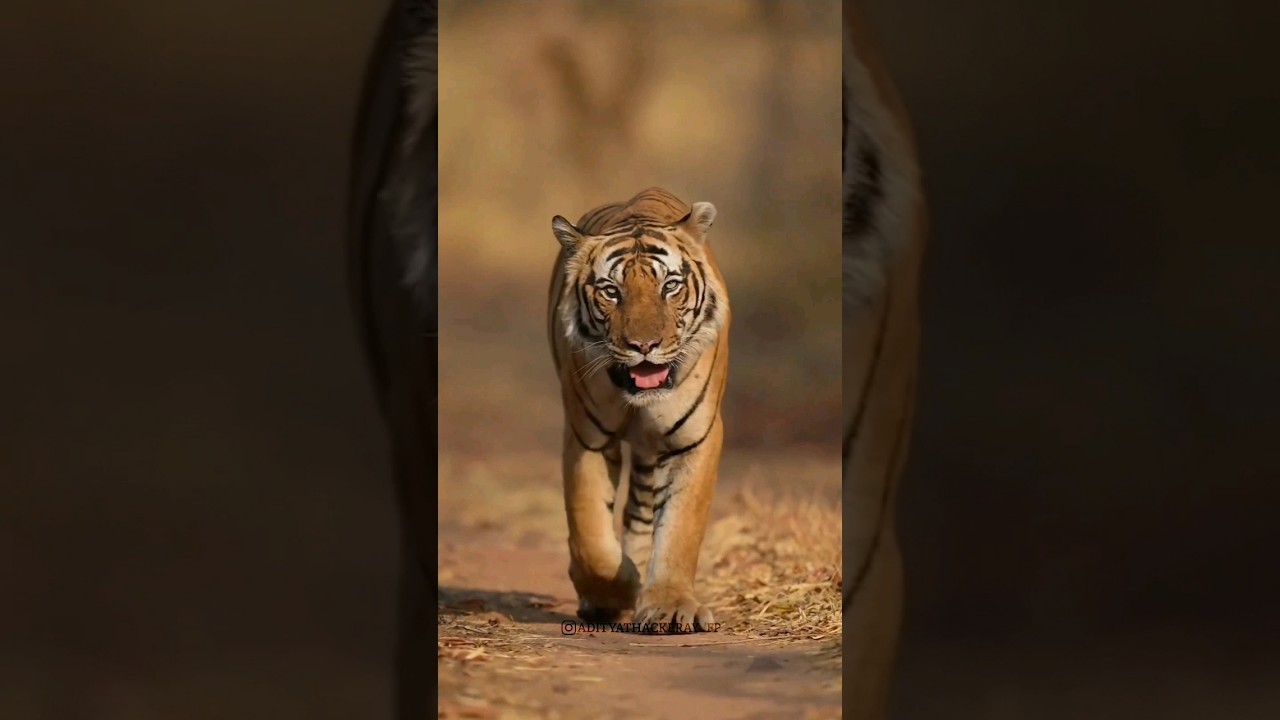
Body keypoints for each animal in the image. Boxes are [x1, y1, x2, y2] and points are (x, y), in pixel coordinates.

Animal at [547, 187, 730, 633]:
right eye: (611, 291)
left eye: (671, 286)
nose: (644, 346)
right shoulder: (587, 438)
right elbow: (590, 534)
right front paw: (614, 591)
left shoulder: (695, 438)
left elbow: (681, 526)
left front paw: (670, 606)